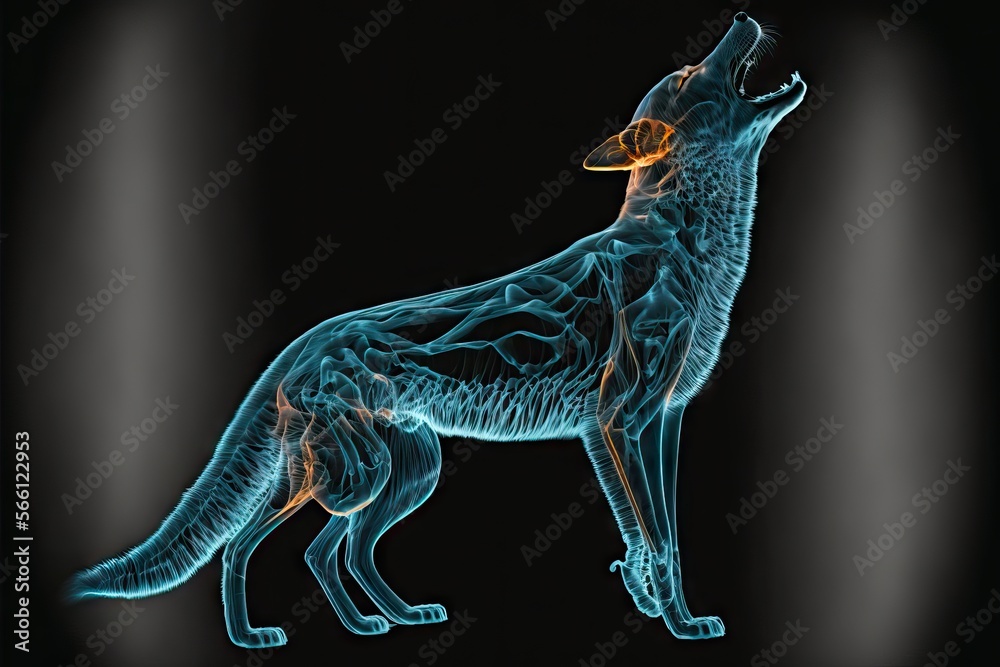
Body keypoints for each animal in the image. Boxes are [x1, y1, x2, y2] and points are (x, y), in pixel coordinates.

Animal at [68, 12, 805, 648]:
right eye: (687, 72)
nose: (743, 14)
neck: (684, 246)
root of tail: (302, 342)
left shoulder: (661, 422)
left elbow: (662, 539)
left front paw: (669, 612)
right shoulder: (617, 422)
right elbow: (652, 536)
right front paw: (672, 620)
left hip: (405, 472)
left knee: (332, 551)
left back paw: (385, 621)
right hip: (346, 477)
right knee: (248, 545)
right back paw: (252, 637)